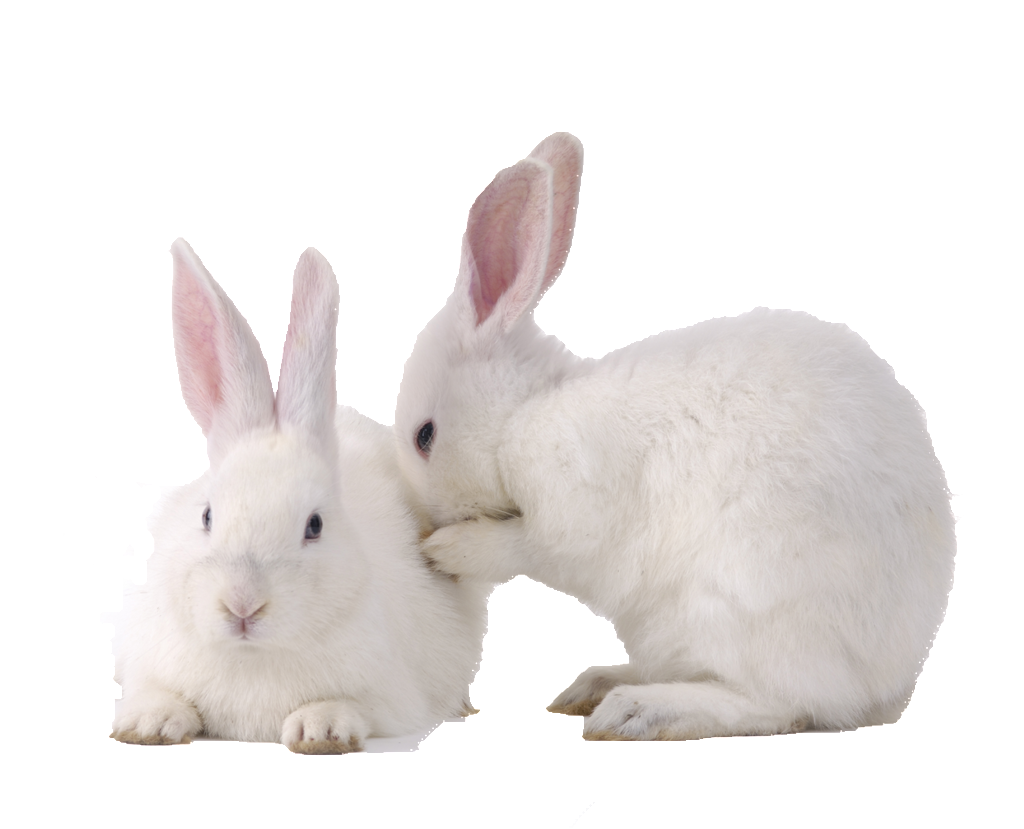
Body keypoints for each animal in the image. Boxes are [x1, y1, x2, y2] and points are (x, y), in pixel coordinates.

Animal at [107, 237, 487, 754]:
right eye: (206, 516)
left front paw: (319, 729)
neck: (252, 658)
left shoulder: (391, 699)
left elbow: (351, 706)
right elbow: (156, 692)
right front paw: (149, 724)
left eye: (315, 526)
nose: (242, 605)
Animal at [391, 130, 958, 741]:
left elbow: (521, 545)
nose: (425, 522)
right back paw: (596, 685)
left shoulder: (568, 509)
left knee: (779, 703)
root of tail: (891, 685)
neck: (522, 415)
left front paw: (446, 550)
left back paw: (635, 710)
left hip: (735, 614)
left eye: (425, 436)